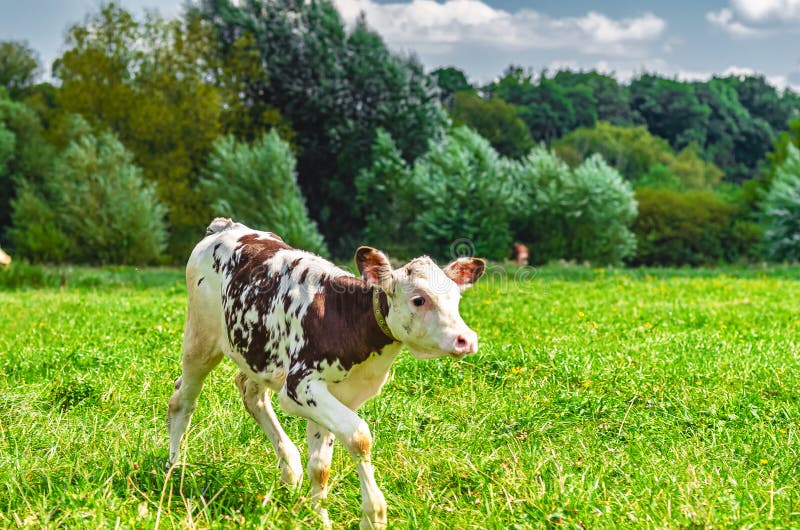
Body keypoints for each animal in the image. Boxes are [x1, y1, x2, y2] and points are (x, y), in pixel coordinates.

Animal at [167, 218, 485, 529]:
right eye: (419, 300)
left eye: (456, 299)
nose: (466, 339)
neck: (349, 320)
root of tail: (226, 226)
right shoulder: (299, 387)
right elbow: (359, 436)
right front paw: (373, 513)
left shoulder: (337, 396)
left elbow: (320, 466)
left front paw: (318, 517)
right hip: (200, 338)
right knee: (182, 400)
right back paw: (174, 471)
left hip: (258, 353)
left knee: (251, 393)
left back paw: (289, 468)